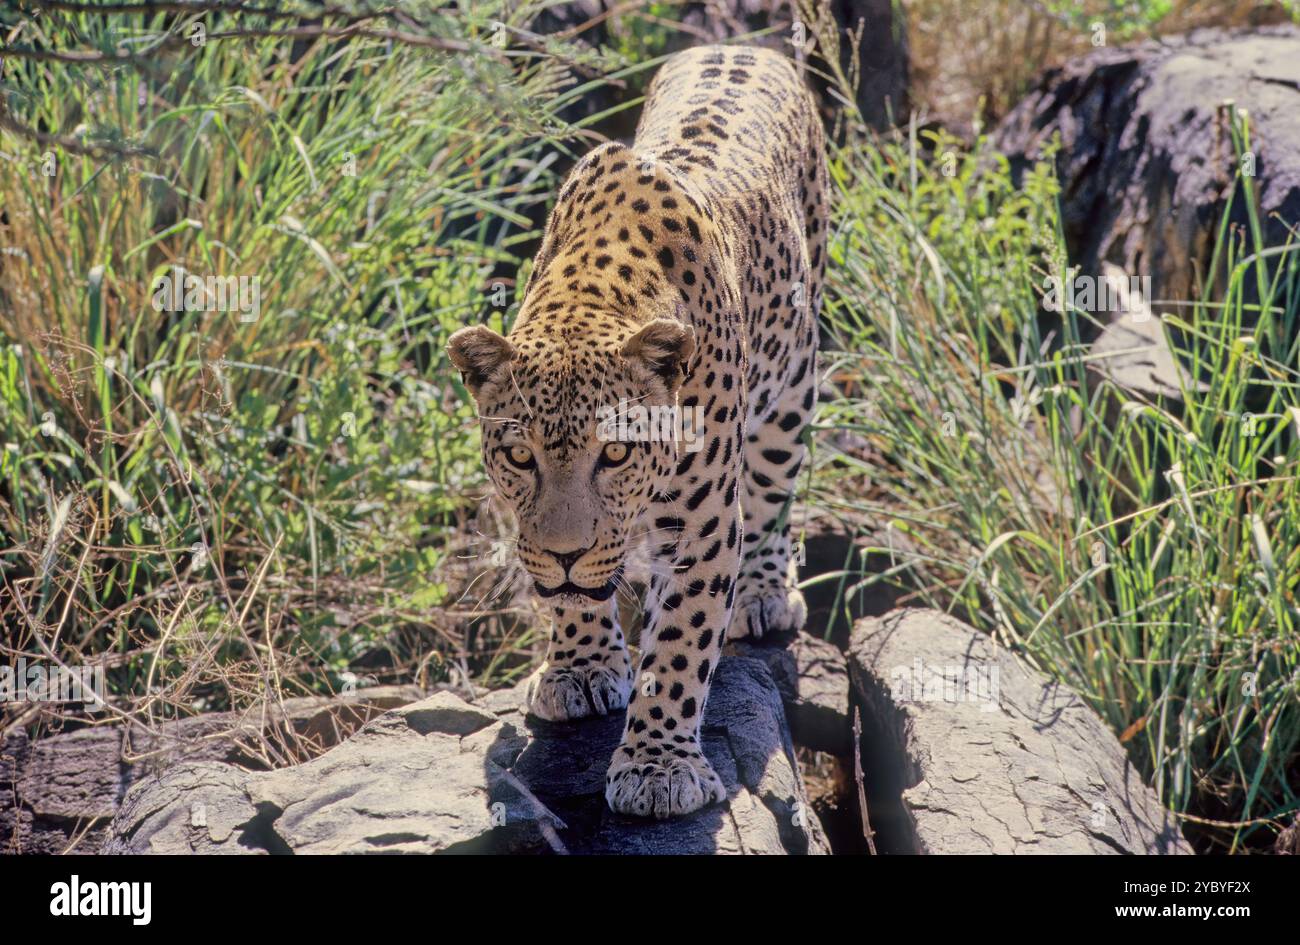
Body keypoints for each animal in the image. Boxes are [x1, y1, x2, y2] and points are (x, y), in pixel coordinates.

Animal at [447, 44, 827, 820]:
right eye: (520, 456)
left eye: (617, 452)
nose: (565, 555)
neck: (588, 296)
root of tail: (745, 45)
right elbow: (582, 600)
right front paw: (582, 667)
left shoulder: (705, 521)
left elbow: (680, 644)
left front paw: (658, 769)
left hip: (794, 383)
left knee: (773, 490)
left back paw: (763, 594)